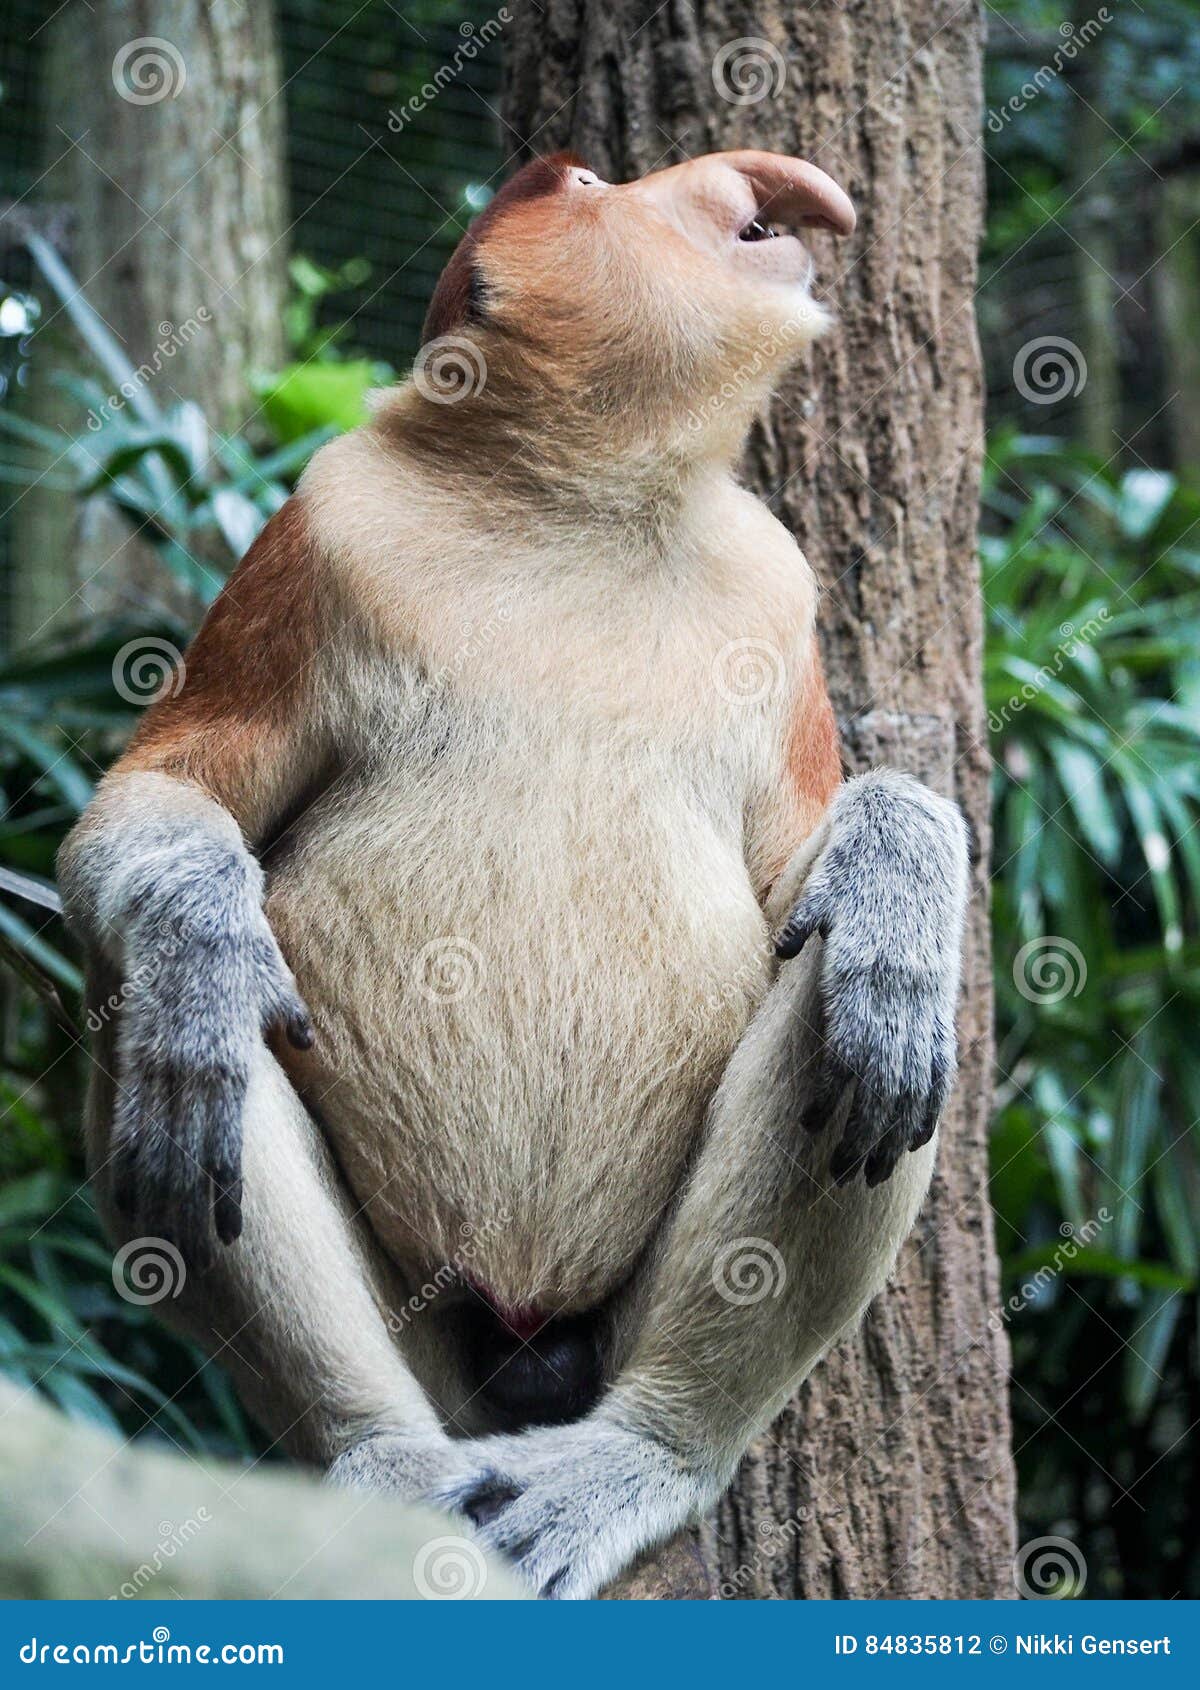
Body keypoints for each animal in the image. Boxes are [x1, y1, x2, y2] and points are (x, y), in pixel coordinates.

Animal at [58, 150, 969, 1600]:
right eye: (590, 182)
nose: (748, 180)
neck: (584, 504)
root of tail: (526, 1342)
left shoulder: (778, 597)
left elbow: (807, 874)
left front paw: (895, 904)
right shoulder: (320, 533)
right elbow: (150, 802)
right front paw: (197, 985)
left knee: (856, 1043)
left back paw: (638, 1454)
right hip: (434, 1352)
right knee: (157, 1018)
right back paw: (385, 1457)